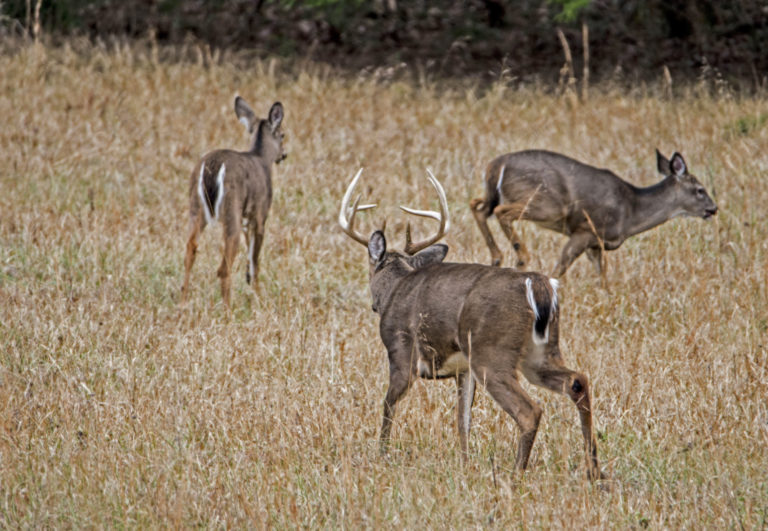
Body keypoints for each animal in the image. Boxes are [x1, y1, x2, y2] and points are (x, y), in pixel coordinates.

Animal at [181, 97, 286, 308]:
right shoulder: (260, 214)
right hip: (231, 209)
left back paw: (183, 303)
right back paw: (228, 310)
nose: (284, 155)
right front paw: (259, 296)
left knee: (190, 250)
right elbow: (255, 260)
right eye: (282, 135)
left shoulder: (246, 217)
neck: (261, 158)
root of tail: (211, 168)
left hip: (196, 206)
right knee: (223, 267)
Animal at [339, 168, 602, 480]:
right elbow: (463, 419)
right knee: (577, 381)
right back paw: (594, 471)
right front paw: (464, 465)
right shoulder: (463, 369)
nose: (373, 305)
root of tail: (539, 284)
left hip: (491, 352)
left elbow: (389, 403)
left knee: (530, 410)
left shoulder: (402, 350)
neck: (395, 286)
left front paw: (382, 455)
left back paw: (516, 475)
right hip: (539, 352)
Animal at [469, 149, 718, 279]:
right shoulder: (585, 230)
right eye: (700, 190)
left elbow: (602, 277)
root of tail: (497, 164)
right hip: (546, 204)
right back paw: (521, 257)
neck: (631, 212)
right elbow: (559, 269)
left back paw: (497, 258)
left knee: (477, 206)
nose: (713, 209)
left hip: (496, 195)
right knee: (501, 212)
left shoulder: (596, 244)